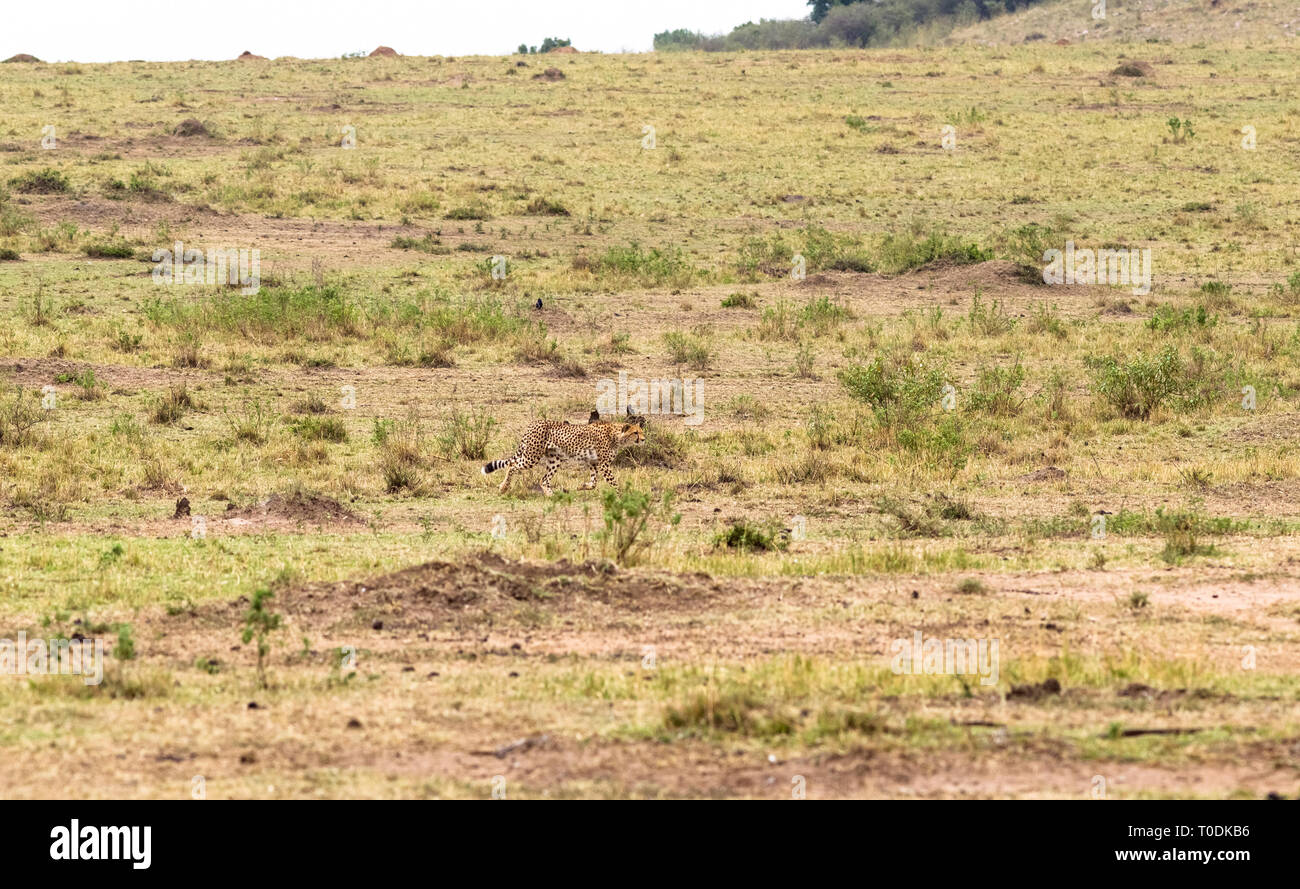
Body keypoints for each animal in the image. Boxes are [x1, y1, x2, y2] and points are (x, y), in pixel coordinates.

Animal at [482, 411, 645, 496]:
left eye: (641, 431)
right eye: (635, 433)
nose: (643, 439)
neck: (617, 436)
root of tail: (534, 423)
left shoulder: (593, 462)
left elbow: (594, 483)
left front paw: (582, 486)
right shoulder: (603, 464)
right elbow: (613, 481)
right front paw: (621, 495)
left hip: (554, 459)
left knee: (543, 479)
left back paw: (550, 495)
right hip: (531, 456)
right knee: (512, 466)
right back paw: (503, 487)